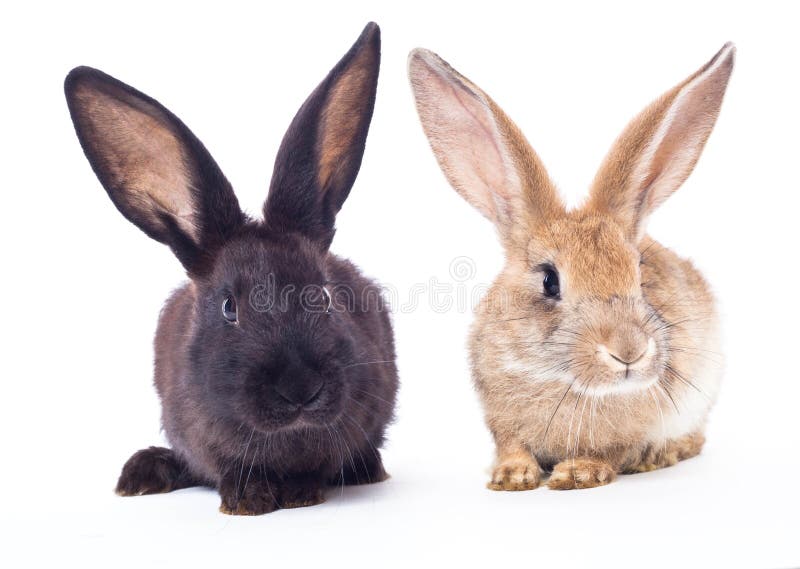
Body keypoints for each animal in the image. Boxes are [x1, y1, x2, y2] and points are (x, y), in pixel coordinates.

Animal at [64, 22, 398, 514]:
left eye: (323, 296)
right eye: (228, 308)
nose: (300, 388)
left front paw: (299, 495)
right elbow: (231, 469)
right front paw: (247, 501)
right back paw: (141, 474)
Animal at [408, 42, 734, 491]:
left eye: (640, 273)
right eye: (550, 280)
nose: (629, 351)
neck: (565, 382)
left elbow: (610, 450)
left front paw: (579, 472)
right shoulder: (501, 422)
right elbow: (512, 444)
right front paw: (512, 475)